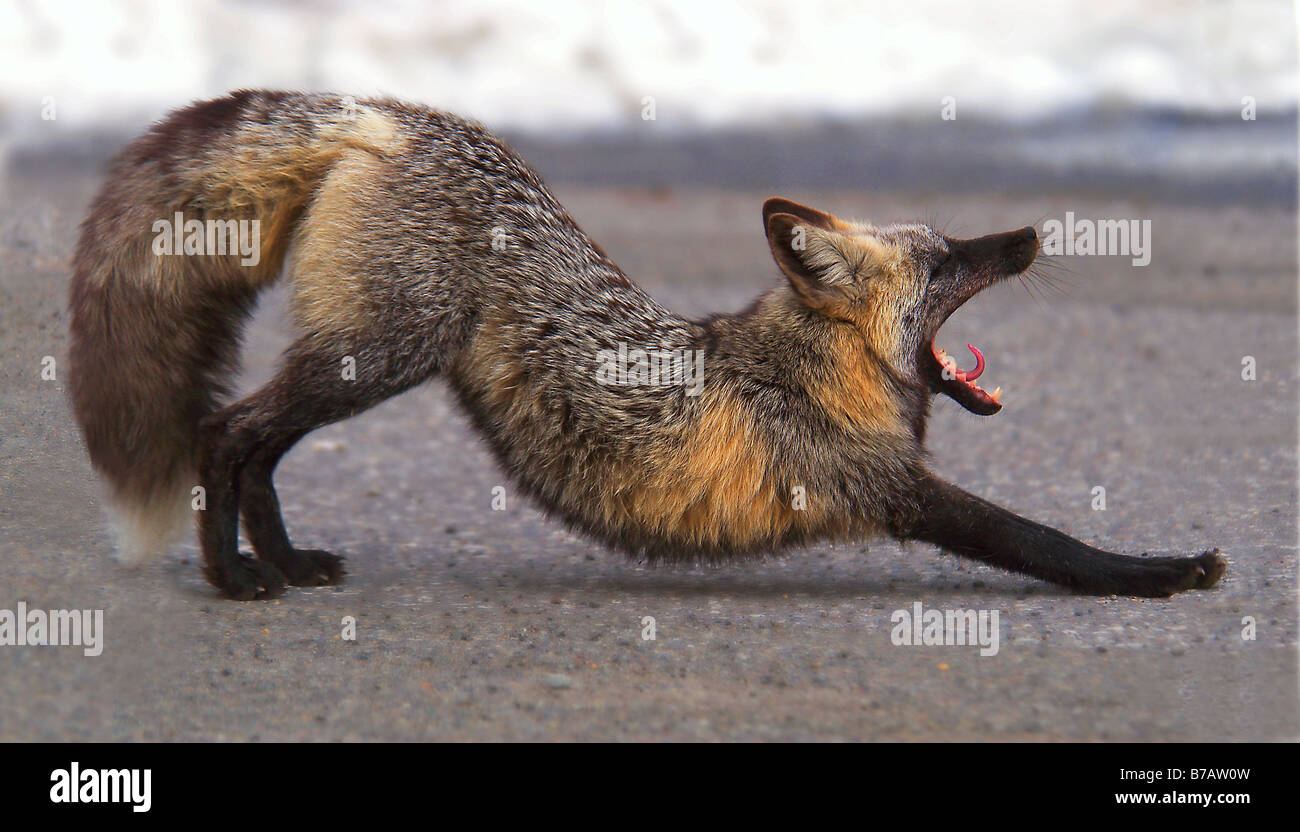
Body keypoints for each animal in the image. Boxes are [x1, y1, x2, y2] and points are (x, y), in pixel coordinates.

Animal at [67, 90, 1226, 601]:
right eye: (945, 264)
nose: (1030, 235)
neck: (814, 370)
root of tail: (396, 115)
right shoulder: (889, 488)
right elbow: (1046, 542)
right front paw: (1161, 572)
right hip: (380, 354)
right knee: (227, 431)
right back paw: (234, 576)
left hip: (367, 358)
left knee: (256, 443)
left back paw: (285, 561)